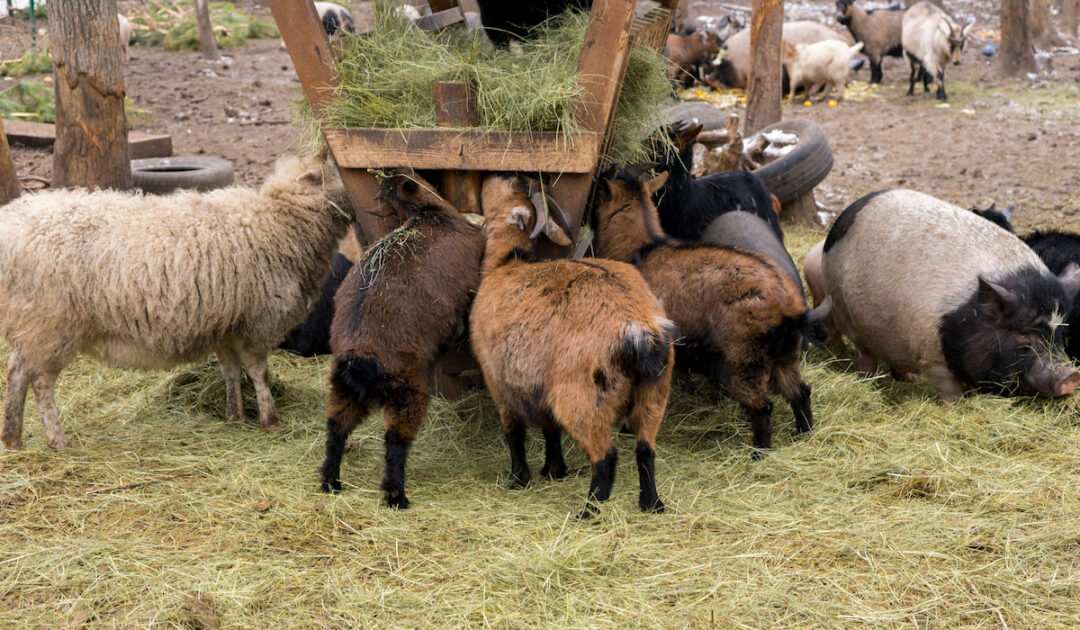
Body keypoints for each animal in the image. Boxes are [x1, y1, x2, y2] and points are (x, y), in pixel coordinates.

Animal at [320, 170, 485, 508]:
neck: (430, 215)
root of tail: (360, 359)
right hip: (406, 390)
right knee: (396, 439)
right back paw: (396, 495)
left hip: (343, 390)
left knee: (336, 427)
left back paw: (331, 481)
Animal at [470, 174, 674, 517]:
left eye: (509, 186)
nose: (495, 175)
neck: (506, 262)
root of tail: (638, 329)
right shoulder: (541, 384)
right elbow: (550, 429)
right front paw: (554, 470)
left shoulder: (497, 378)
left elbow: (514, 433)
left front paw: (519, 479)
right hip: (654, 393)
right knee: (646, 449)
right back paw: (651, 504)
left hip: (583, 397)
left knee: (606, 456)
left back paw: (589, 510)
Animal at [592, 166, 831, 456]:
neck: (643, 249)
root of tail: (790, 308)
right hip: (785, 356)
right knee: (800, 392)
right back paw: (803, 435)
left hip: (740, 361)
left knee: (763, 406)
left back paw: (759, 454)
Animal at [810, 189, 1080, 400]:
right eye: (1025, 334)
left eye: (1061, 332)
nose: (1070, 376)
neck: (967, 313)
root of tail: (845, 214)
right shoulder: (934, 358)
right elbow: (951, 391)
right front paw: (955, 406)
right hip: (845, 311)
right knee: (865, 353)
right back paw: (868, 378)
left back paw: (908, 378)